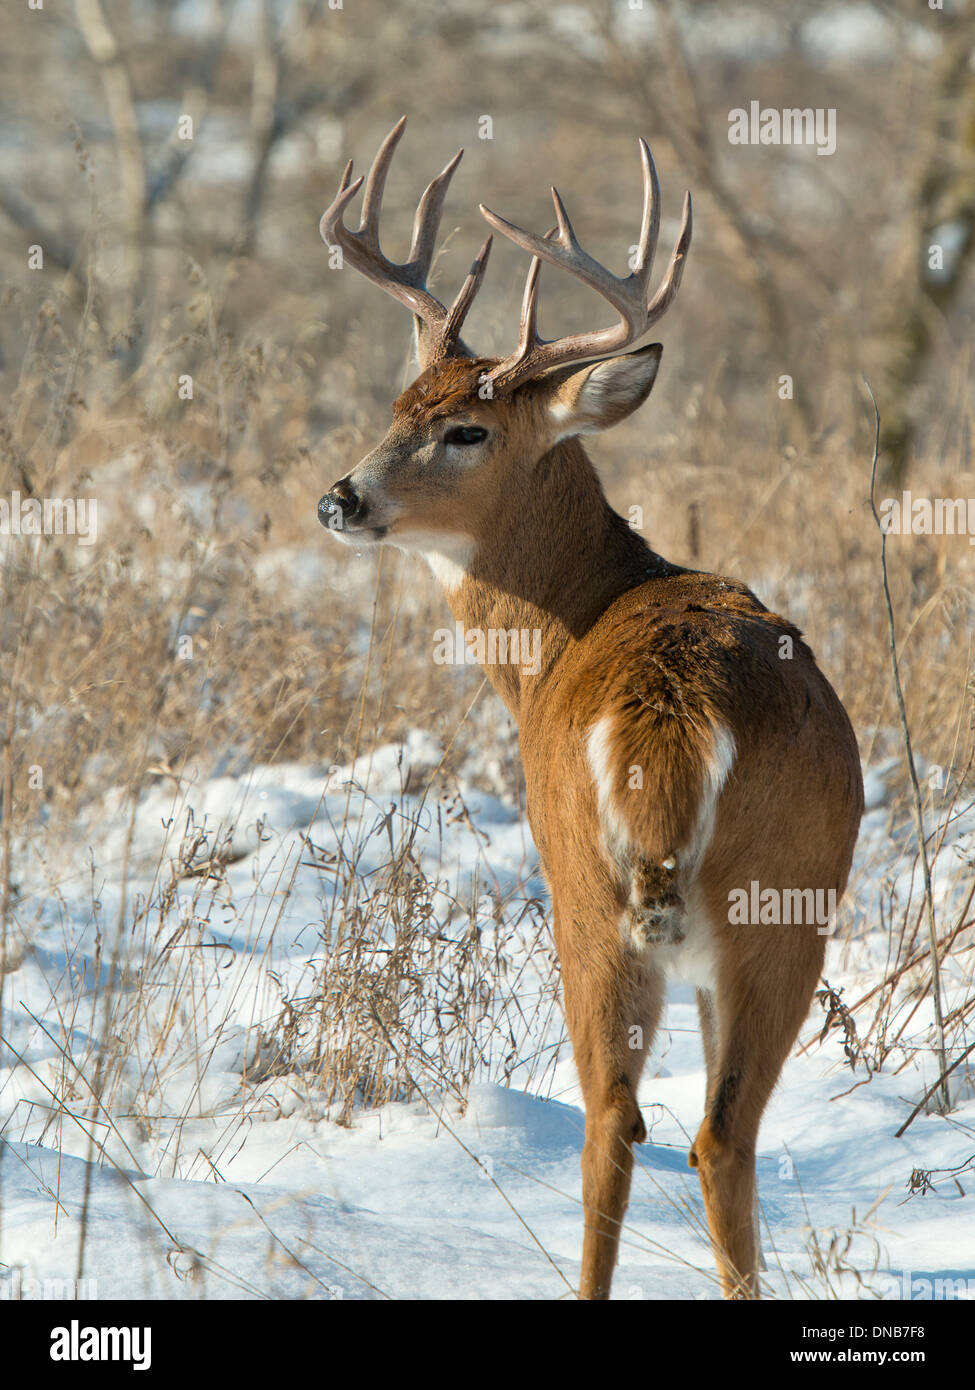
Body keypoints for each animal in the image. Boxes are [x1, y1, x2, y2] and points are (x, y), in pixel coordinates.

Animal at [317, 118, 864, 1300]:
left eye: (468, 431)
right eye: (398, 408)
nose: (340, 497)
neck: (569, 624)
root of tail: (671, 712)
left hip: (596, 893)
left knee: (626, 1123)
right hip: (766, 903)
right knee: (709, 1133)